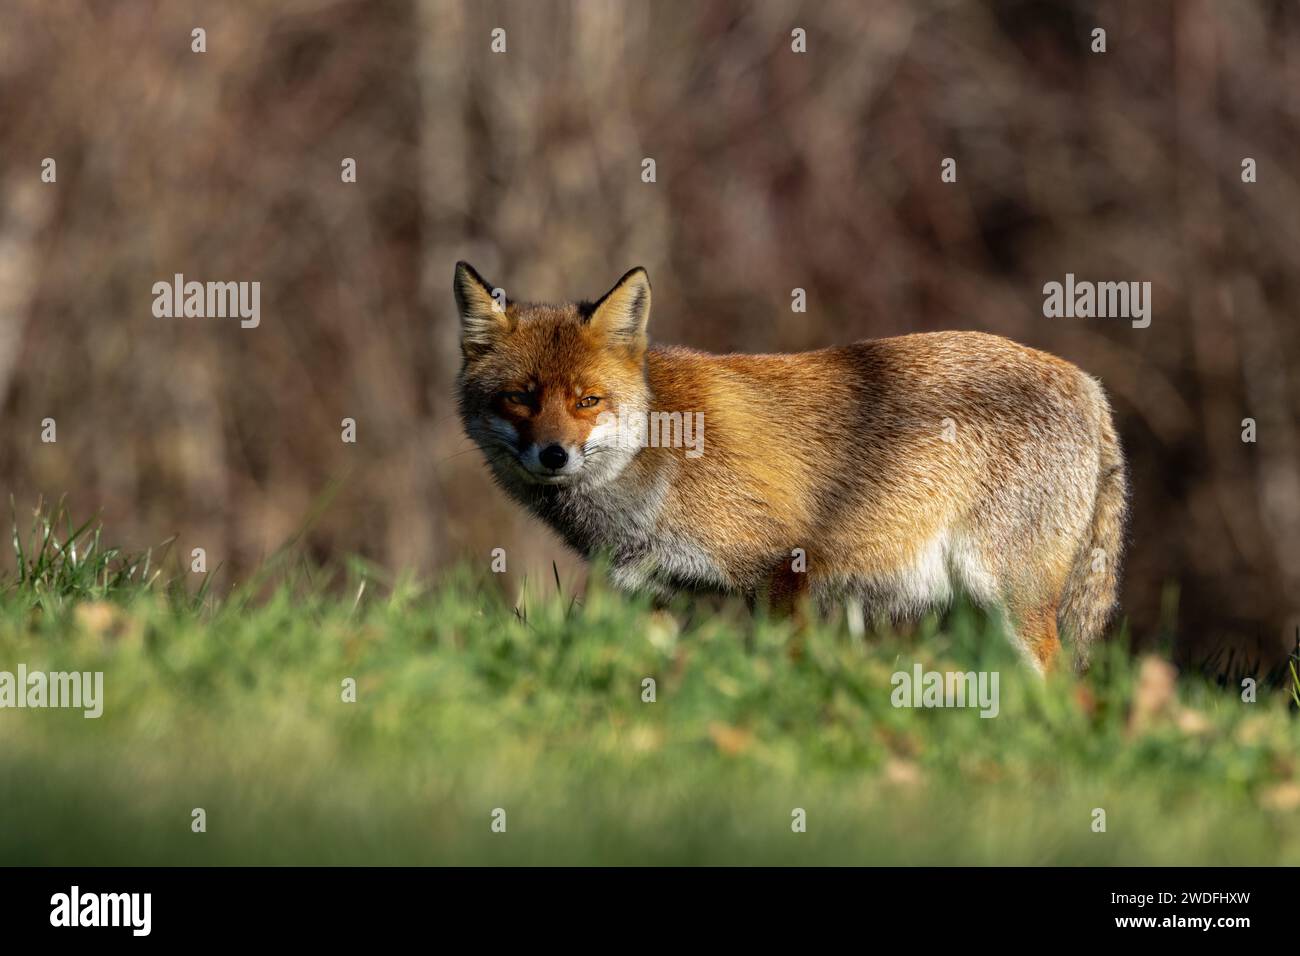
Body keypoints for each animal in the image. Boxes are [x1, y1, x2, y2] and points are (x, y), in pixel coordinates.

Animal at [455, 261, 1127, 672]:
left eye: (587, 401)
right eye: (520, 398)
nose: (554, 454)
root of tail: (1089, 384)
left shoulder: (782, 567)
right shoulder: (656, 594)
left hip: (1009, 596)